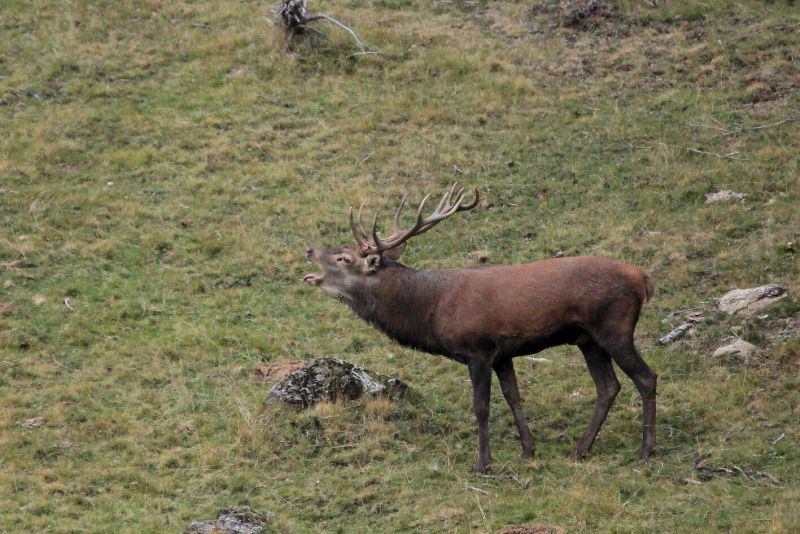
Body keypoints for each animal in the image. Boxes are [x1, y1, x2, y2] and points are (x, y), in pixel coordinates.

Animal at [303, 185, 656, 474]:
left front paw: (483, 464)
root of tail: (643, 278)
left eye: (343, 257)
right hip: (588, 339)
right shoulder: (503, 354)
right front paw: (528, 451)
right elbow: (514, 398)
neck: (431, 309)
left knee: (646, 377)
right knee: (608, 386)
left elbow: (481, 407)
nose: (309, 250)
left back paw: (646, 452)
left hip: (614, 327)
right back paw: (580, 449)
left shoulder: (479, 349)